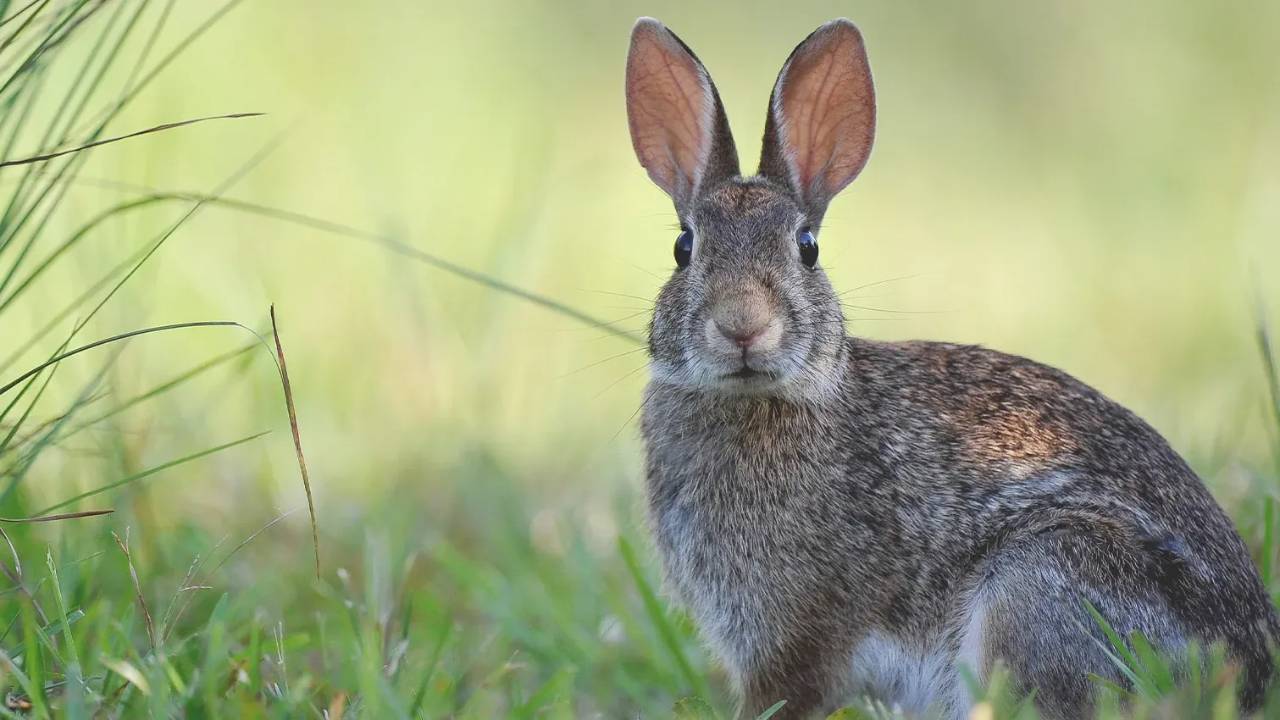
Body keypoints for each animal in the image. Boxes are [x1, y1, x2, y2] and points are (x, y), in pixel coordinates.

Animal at [624, 16, 1278, 720]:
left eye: (807, 247)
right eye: (683, 248)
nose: (743, 325)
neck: (765, 399)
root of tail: (1245, 671)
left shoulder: (800, 639)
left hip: (1040, 585)